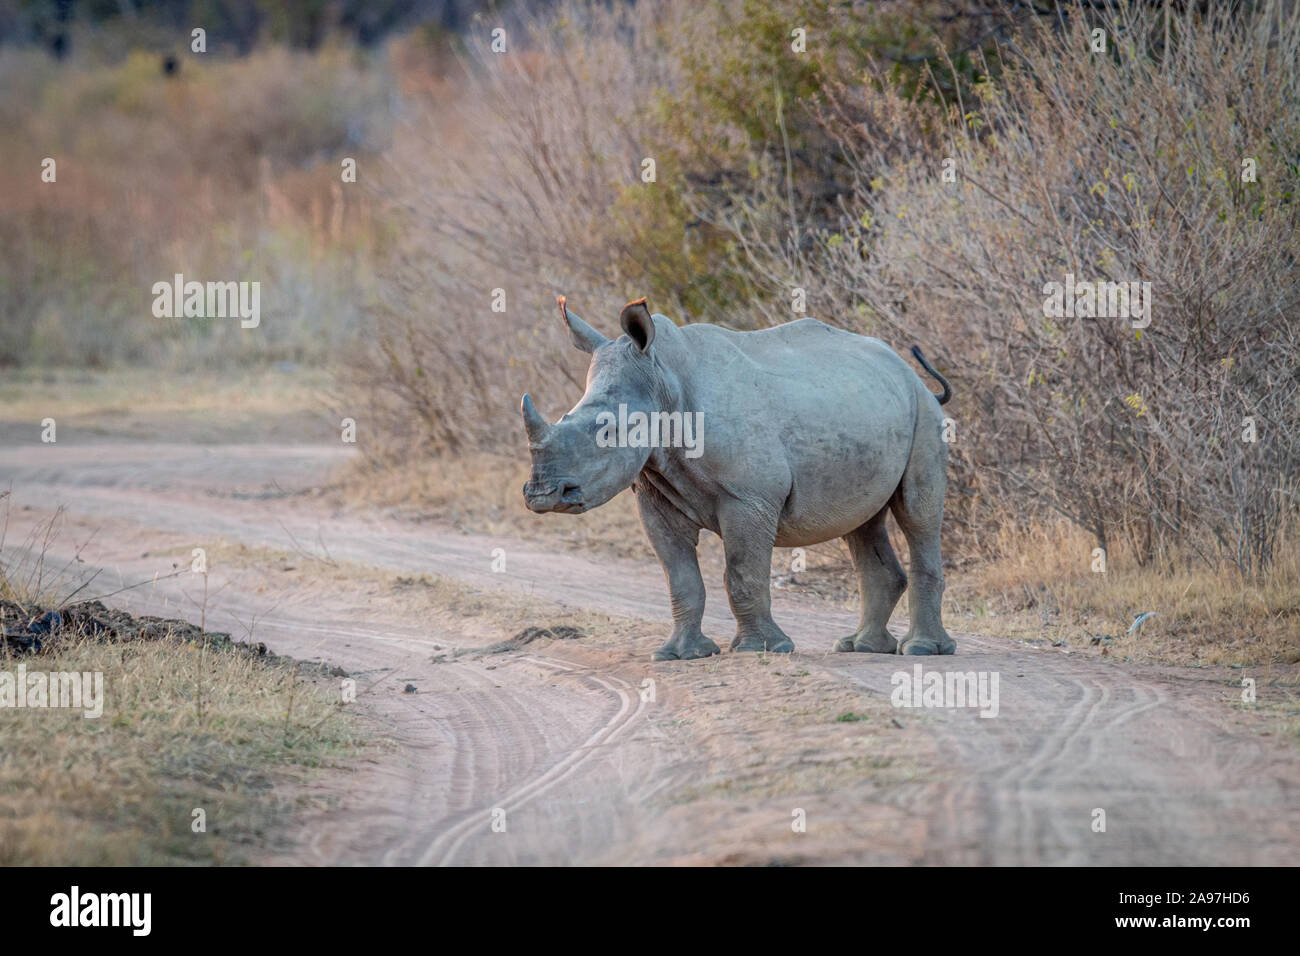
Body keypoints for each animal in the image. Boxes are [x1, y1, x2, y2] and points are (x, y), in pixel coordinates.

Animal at [521, 296, 955, 661]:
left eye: (608, 432)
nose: (542, 495)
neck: (663, 381)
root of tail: (909, 372)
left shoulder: (749, 497)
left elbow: (743, 572)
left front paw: (762, 649)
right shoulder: (654, 493)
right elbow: (680, 577)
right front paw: (680, 655)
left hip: (924, 415)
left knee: (917, 514)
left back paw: (922, 650)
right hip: (867, 407)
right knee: (863, 525)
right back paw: (860, 647)